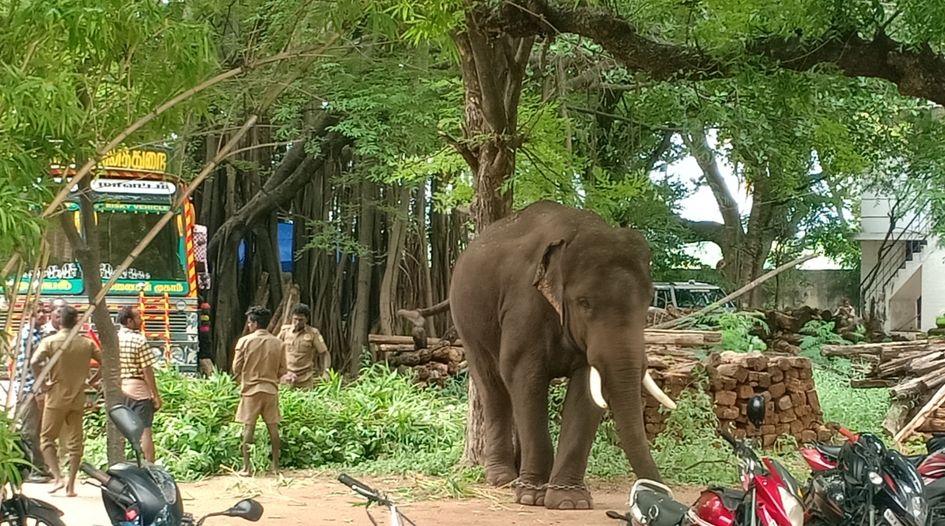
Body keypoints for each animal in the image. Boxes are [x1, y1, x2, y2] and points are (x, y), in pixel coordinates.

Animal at [448, 200, 676, 510]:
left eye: (648, 300)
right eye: (584, 302)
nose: (662, 496)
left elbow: (587, 391)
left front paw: (568, 501)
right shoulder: (525, 306)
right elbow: (525, 377)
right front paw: (531, 497)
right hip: (467, 322)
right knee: (493, 386)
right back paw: (503, 478)